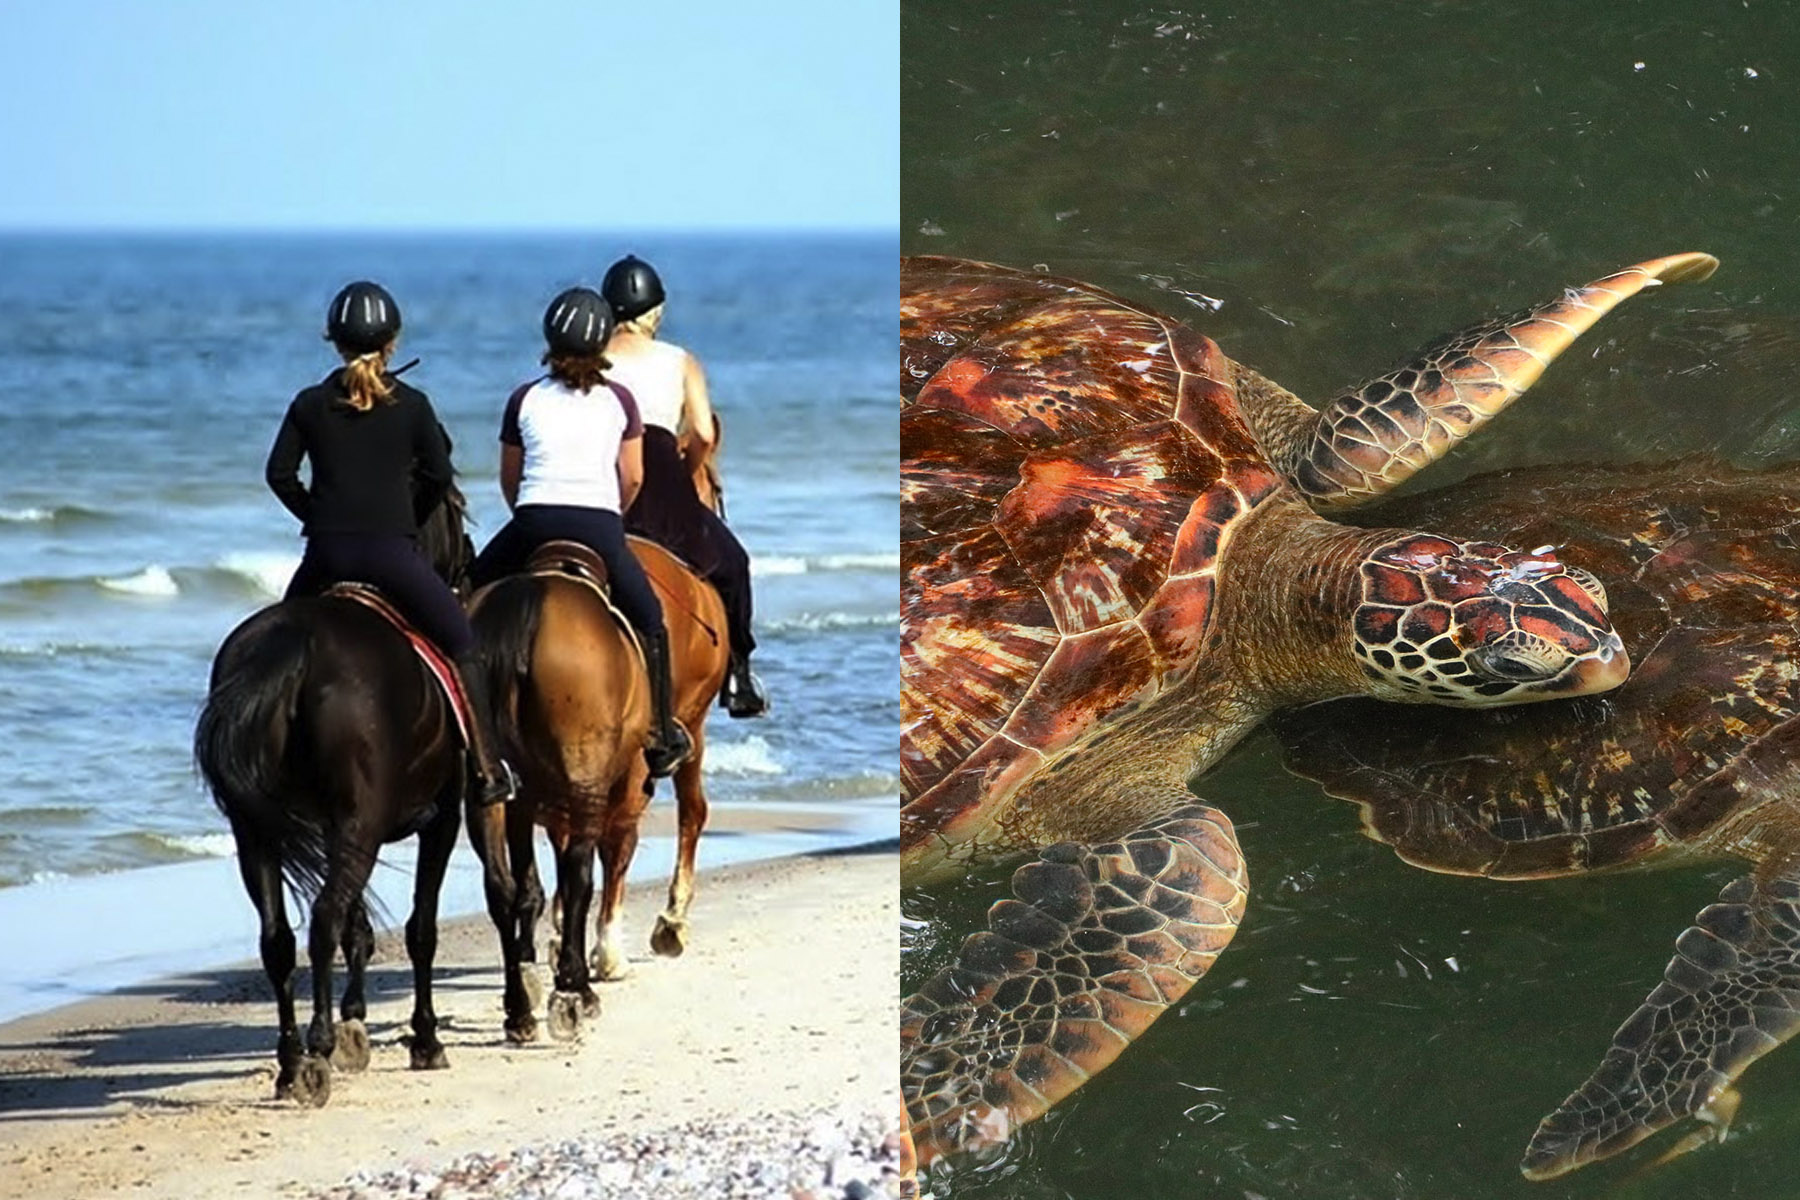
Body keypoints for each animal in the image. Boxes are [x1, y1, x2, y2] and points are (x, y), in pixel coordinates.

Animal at [194, 488, 508, 1106]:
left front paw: (355, 1023)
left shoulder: (332, 827)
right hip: (360, 825)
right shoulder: (435, 821)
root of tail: (294, 645)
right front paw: (424, 1040)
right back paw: (316, 1050)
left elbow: (358, 926)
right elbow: (419, 930)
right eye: (455, 516)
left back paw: (292, 1062)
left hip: (261, 833)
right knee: (322, 918)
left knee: (279, 938)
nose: (467, 565)